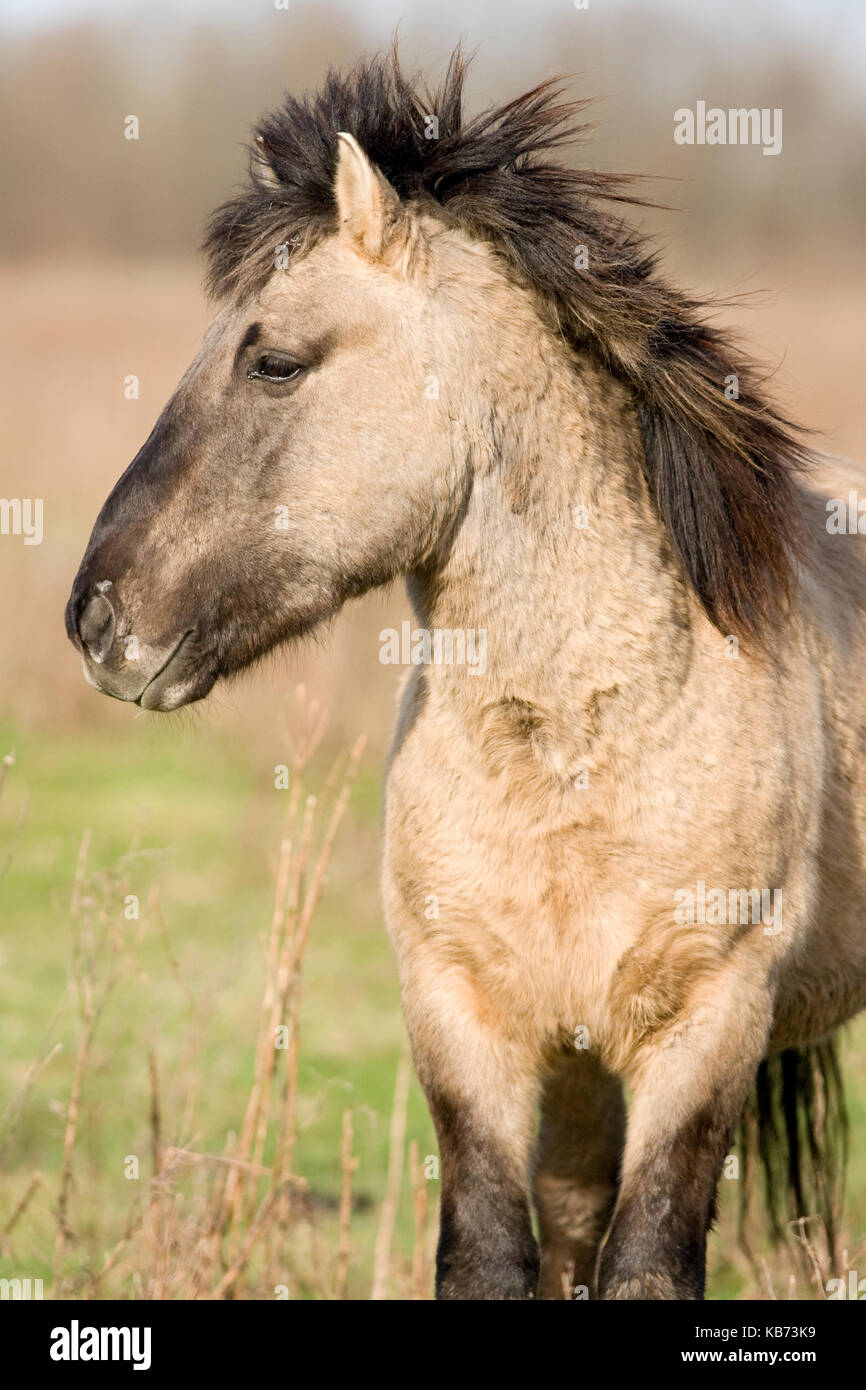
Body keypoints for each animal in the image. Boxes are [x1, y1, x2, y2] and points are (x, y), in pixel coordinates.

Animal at [65, 50, 863, 1300]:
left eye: (273, 361)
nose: (97, 618)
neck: (574, 748)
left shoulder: (706, 1027)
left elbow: (647, 1262)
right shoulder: (465, 1018)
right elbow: (491, 1252)